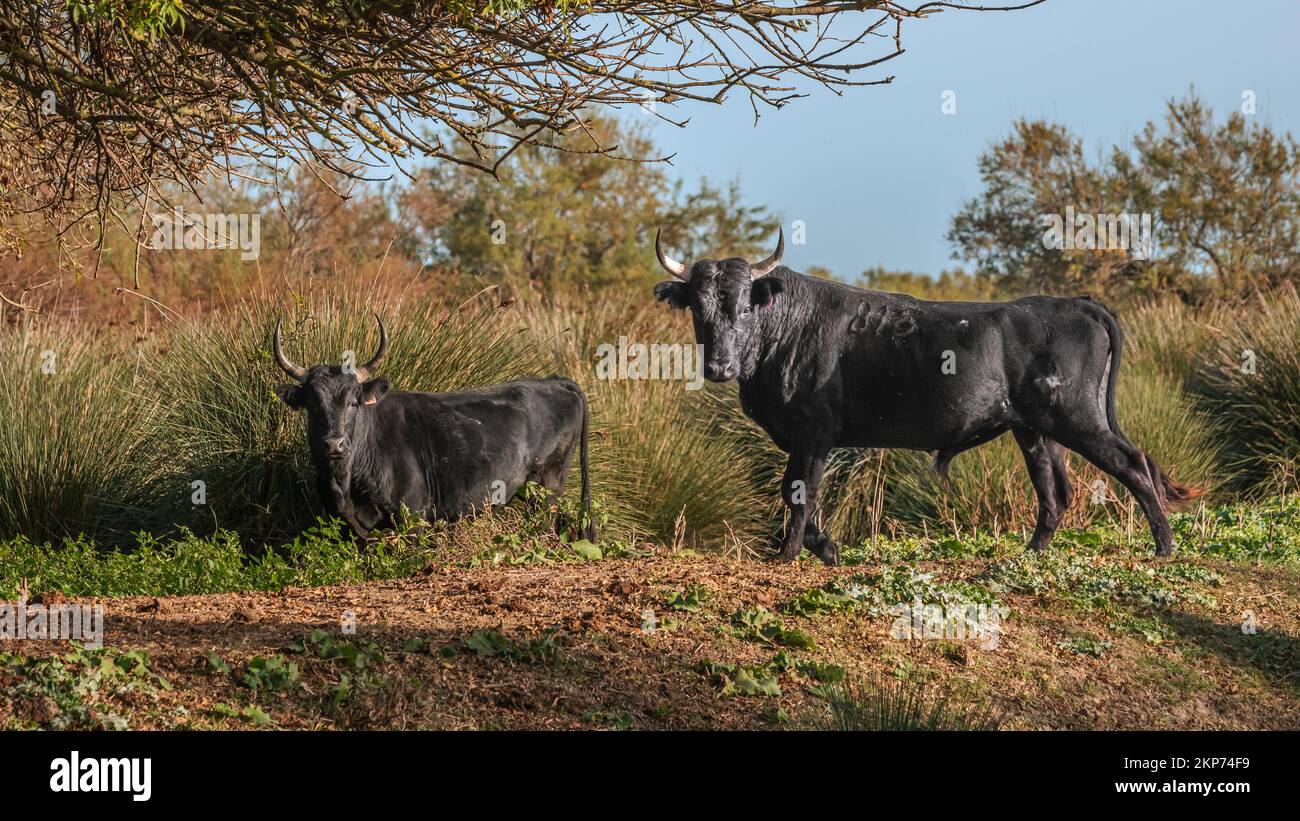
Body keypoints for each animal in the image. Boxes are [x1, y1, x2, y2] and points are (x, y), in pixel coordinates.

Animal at [271, 315, 596, 542]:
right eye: (312, 404)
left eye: (353, 402)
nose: (334, 444)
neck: (346, 482)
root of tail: (553, 380)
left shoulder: (412, 518)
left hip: (548, 487)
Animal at [651, 228, 1199, 566]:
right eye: (698, 309)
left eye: (745, 308)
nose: (719, 366)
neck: (784, 331)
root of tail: (1077, 303)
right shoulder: (804, 439)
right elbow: (798, 491)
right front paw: (824, 549)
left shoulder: (813, 434)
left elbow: (799, 492)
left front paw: (791, 555)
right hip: (1037, 432)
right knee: (1056, 492)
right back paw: (1030, 554)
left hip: (1079, 418)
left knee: (1133, 464)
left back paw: (1164, 547)